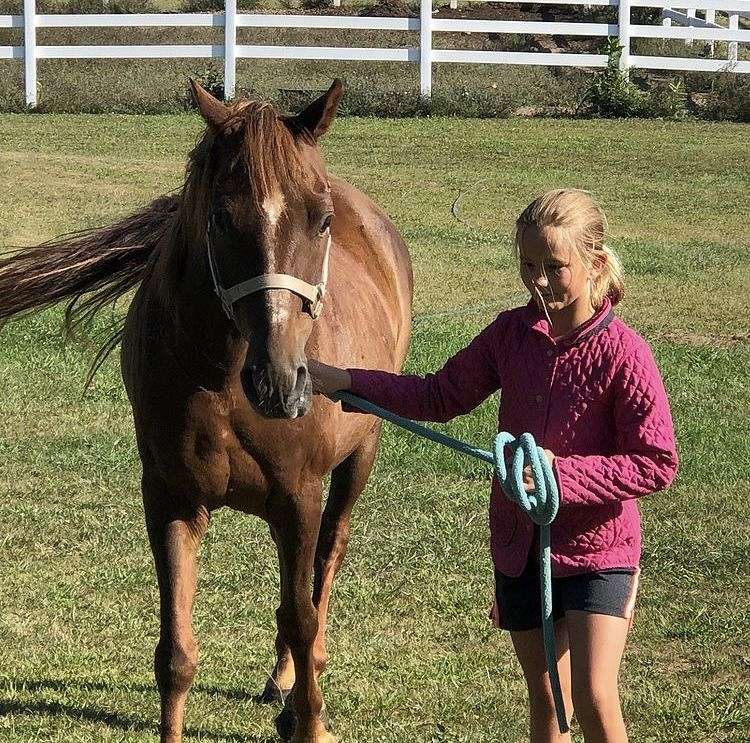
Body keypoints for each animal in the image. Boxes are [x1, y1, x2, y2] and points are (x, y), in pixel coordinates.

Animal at [0, 79, 413, 743]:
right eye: (221, 216)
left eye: (321, 220)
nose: (279, 383)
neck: (223, 381)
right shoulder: (172, 498)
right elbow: (176, 653)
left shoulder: (299, 496)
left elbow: (302, 613)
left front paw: (312, 721)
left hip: (359, 457)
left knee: (326, 563)